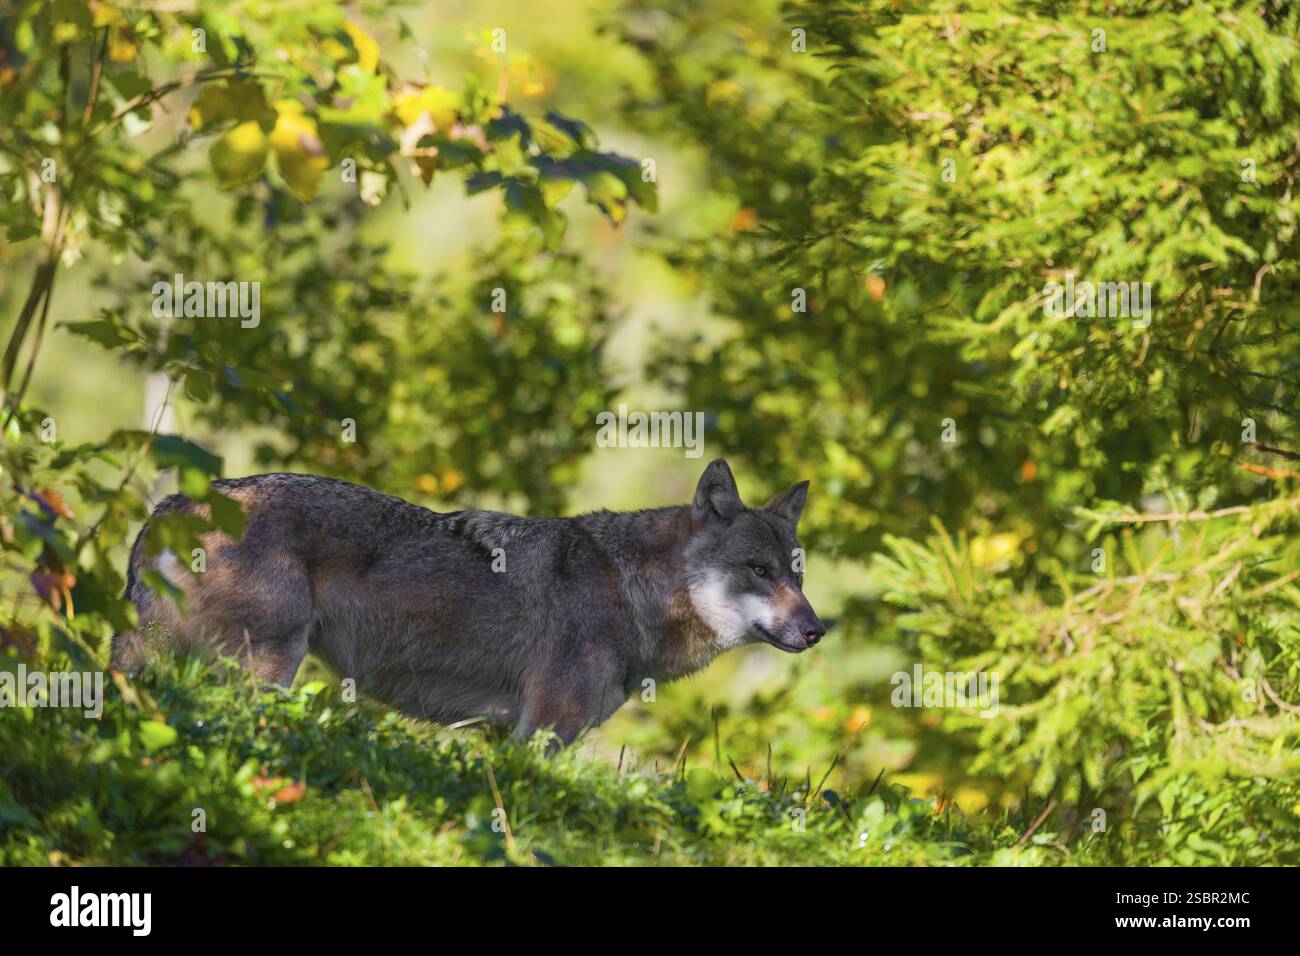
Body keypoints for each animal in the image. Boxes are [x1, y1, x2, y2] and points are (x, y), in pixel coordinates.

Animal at [112, 458, 825, 745]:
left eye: (797, 573)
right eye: (759, 570)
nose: (818, 630)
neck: (632, 588)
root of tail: (173, 504)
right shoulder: (547, 727)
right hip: (266, 667)